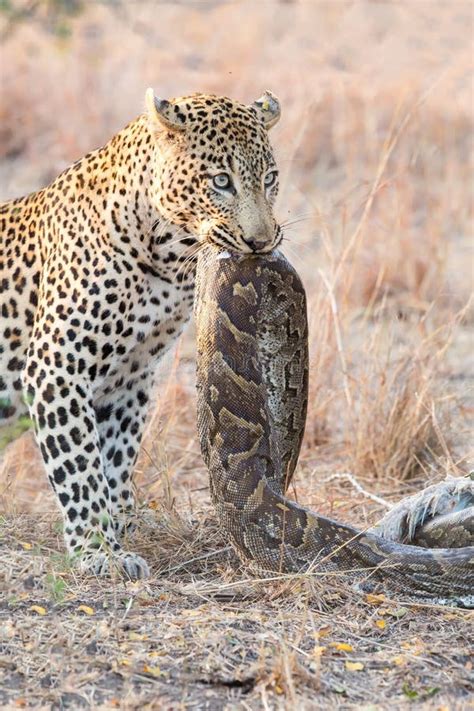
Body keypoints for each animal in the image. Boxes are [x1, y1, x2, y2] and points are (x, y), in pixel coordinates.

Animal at [0, 88, 282, 578]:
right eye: (221, 181)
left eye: (270, 179)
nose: (261, 243)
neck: (167, 255)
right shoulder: (57, 367)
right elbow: (80, 465)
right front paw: (99, 551)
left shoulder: (129, 377)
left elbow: (115, 458)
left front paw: (120, 526)